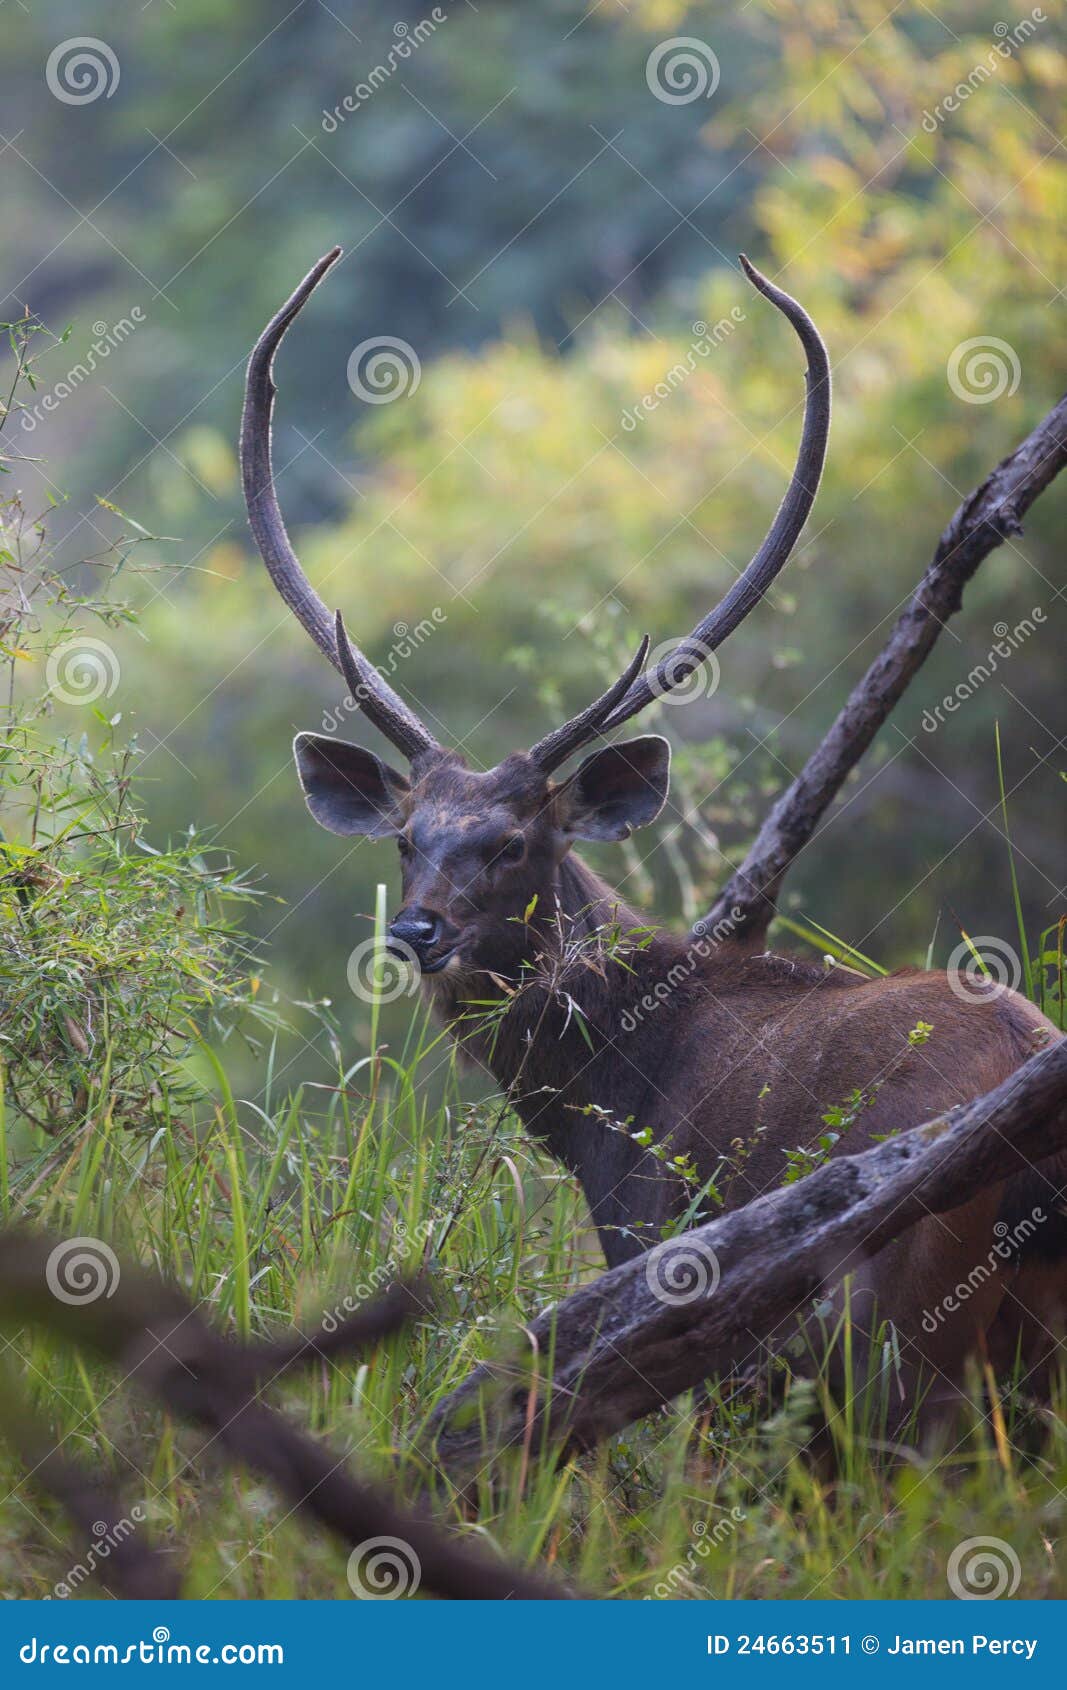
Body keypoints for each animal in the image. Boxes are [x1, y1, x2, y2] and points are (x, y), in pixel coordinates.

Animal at [241, 248, 1067, 1423]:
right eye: (406, 839)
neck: (602, 1096)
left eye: (516, 843)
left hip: (898, 1334)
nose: (417, 933)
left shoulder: (656, 1251)